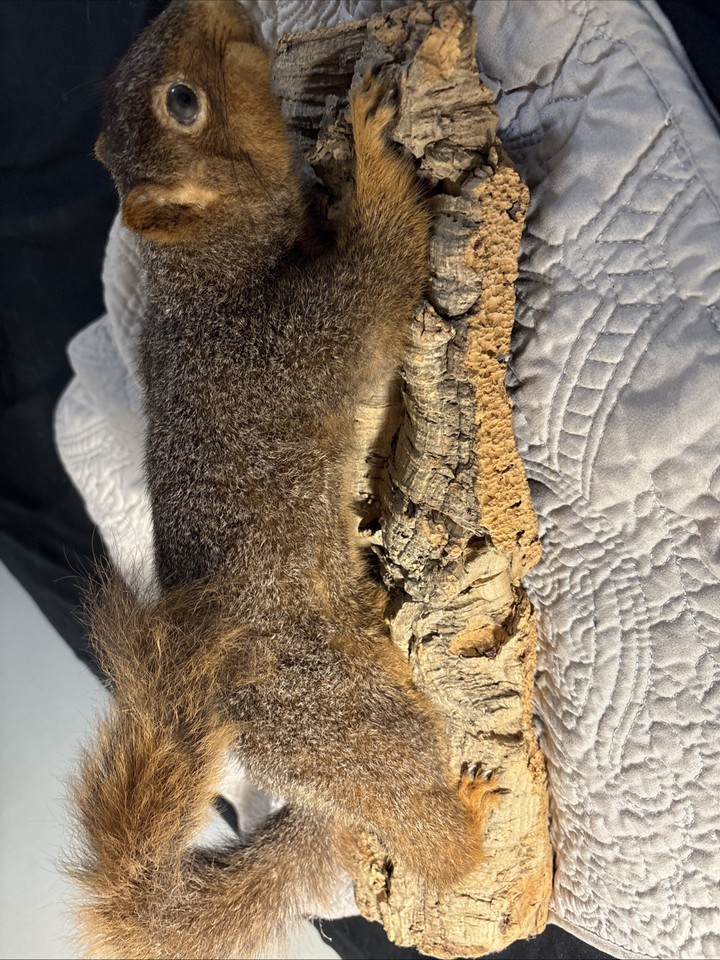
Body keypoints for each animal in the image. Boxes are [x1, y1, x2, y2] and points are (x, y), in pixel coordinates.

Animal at [68, 2, 497, 958]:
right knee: (428, 829)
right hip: (354, 720)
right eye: (182, 101)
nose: (219, 9)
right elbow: (387, 255)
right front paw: (371, 142)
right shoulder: (307, 330)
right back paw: (473, 818)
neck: (210, 268)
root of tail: (309, 786)